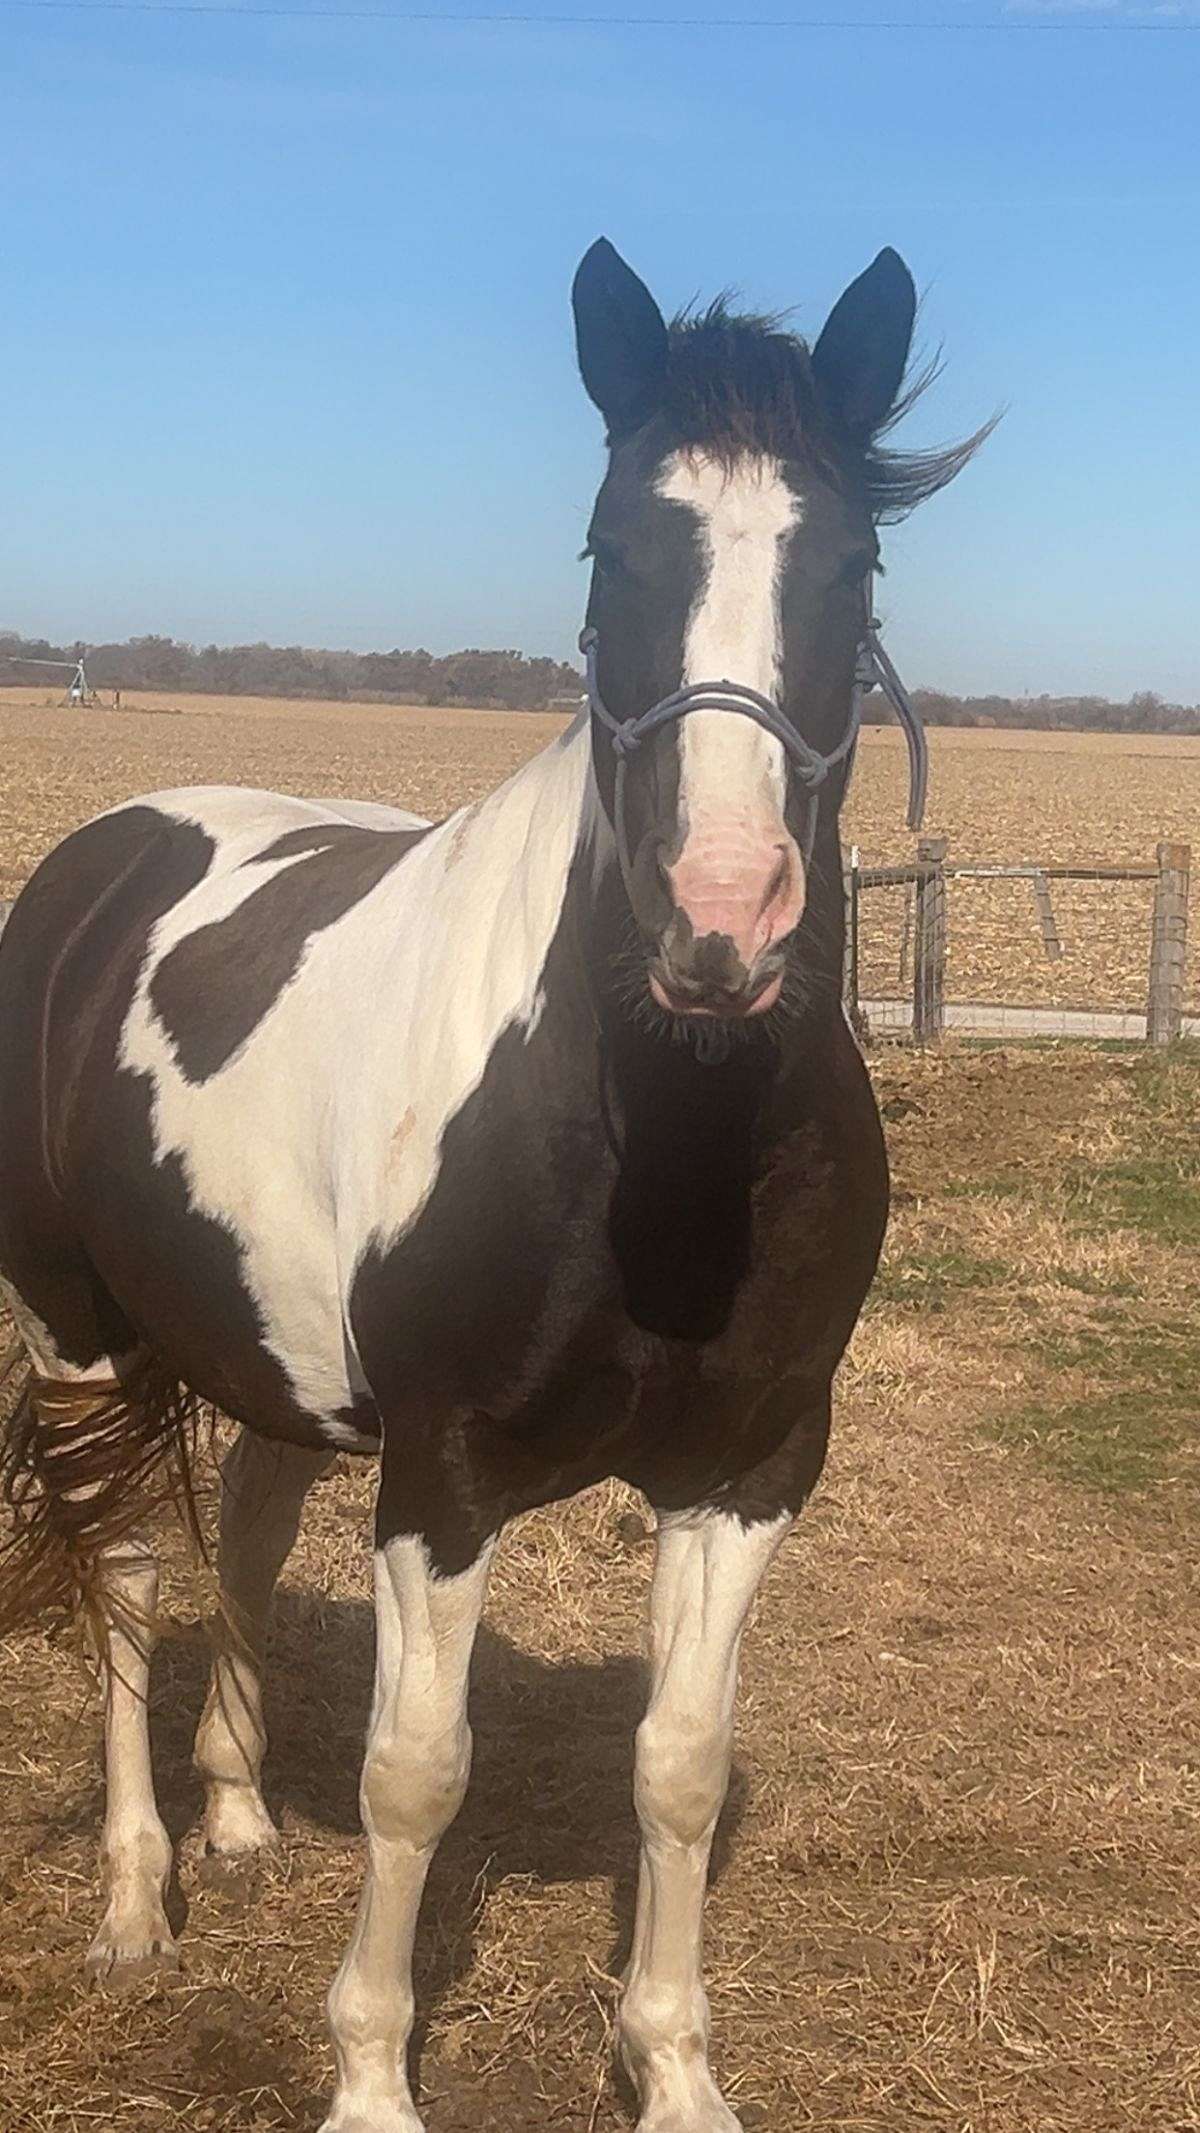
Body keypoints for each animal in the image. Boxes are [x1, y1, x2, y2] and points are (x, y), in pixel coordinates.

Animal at [0, 238, 982, 2133]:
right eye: (613, 549)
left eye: (853, 561)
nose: (722, 922)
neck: (654, 1139)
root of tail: (103, 859)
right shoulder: (444, 1475)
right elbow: (416, 1770)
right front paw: (373, 2079)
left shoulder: (747, 1471)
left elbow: (678, 1765)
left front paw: (673, 2068)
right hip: (80, 1338)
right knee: (127, 1583)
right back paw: (138, 1904)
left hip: (274, 1363)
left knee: (246, 1530)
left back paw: (239, 1818)